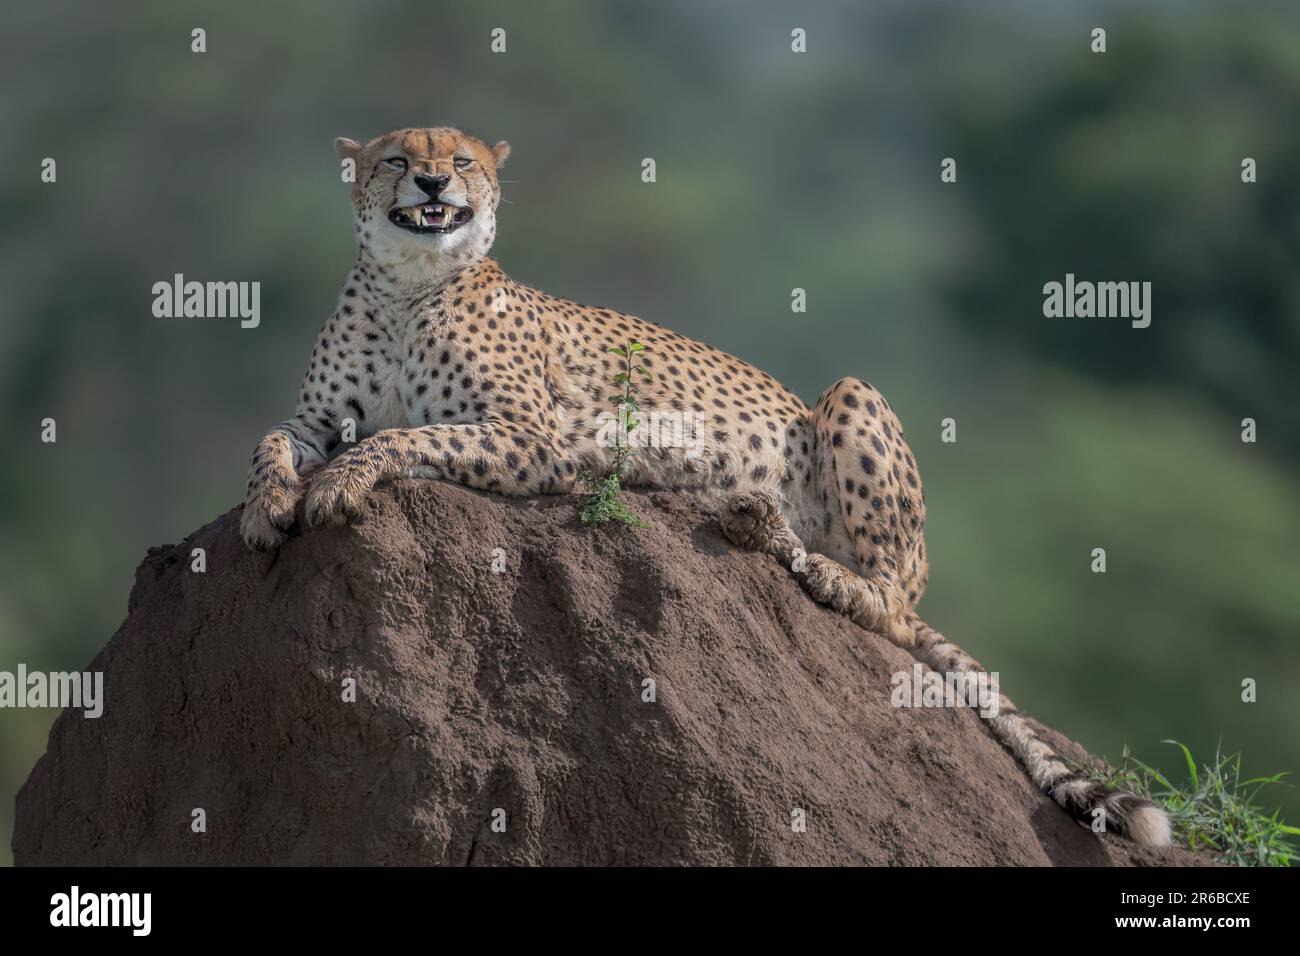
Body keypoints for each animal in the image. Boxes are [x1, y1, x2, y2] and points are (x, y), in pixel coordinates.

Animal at [239, 126, 1171, 847]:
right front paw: (264, 506)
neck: (408, 285)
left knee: (894, 605)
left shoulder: (533, 440)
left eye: (461, 161)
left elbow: (402, 435)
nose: (433, 182)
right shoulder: (318, 419)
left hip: (852, 404)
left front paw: (334, 490)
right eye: (398, 159)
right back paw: (755, 521)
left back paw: (828, 573)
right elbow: (271, 440)